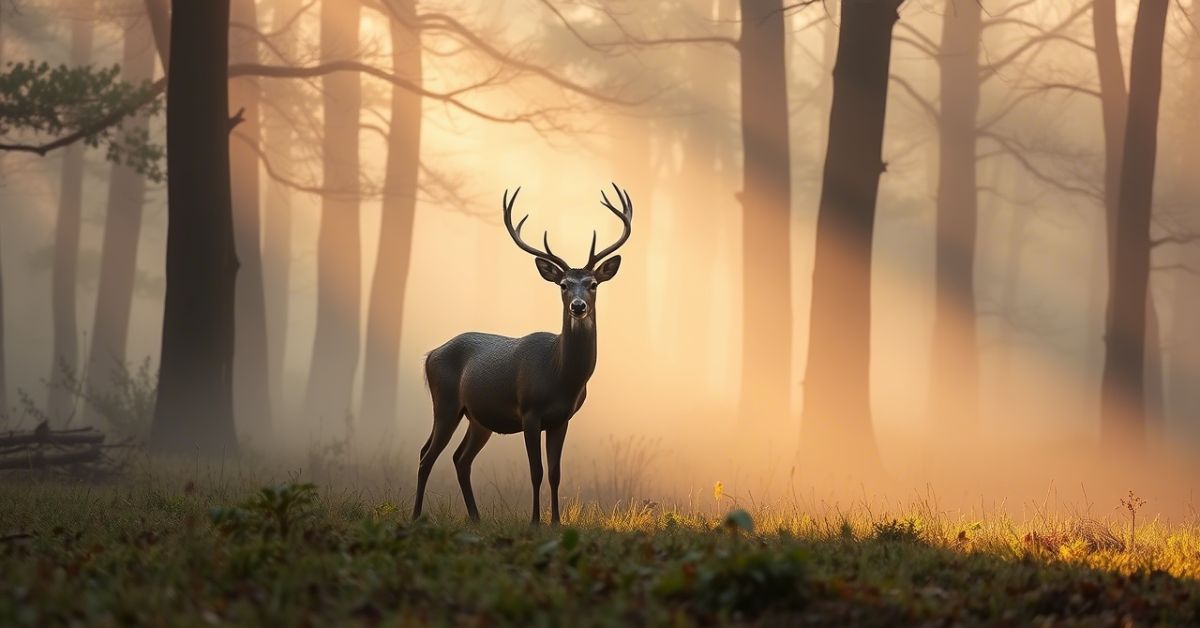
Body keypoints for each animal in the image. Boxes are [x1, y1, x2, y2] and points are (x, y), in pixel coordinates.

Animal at [411, 184, 633, 525]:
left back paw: (475, 518)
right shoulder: (530, 410)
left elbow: (555, 472)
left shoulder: (561, 418)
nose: (578, 306)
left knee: (460, 458)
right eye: (563, 284)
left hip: (479, 418)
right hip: (446, 403)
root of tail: (430, 355)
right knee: (426, 455)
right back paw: (415, 516)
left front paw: (555, 522)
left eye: (593, 283)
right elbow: (536, 471)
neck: (559, 375)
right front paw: (535, 522)